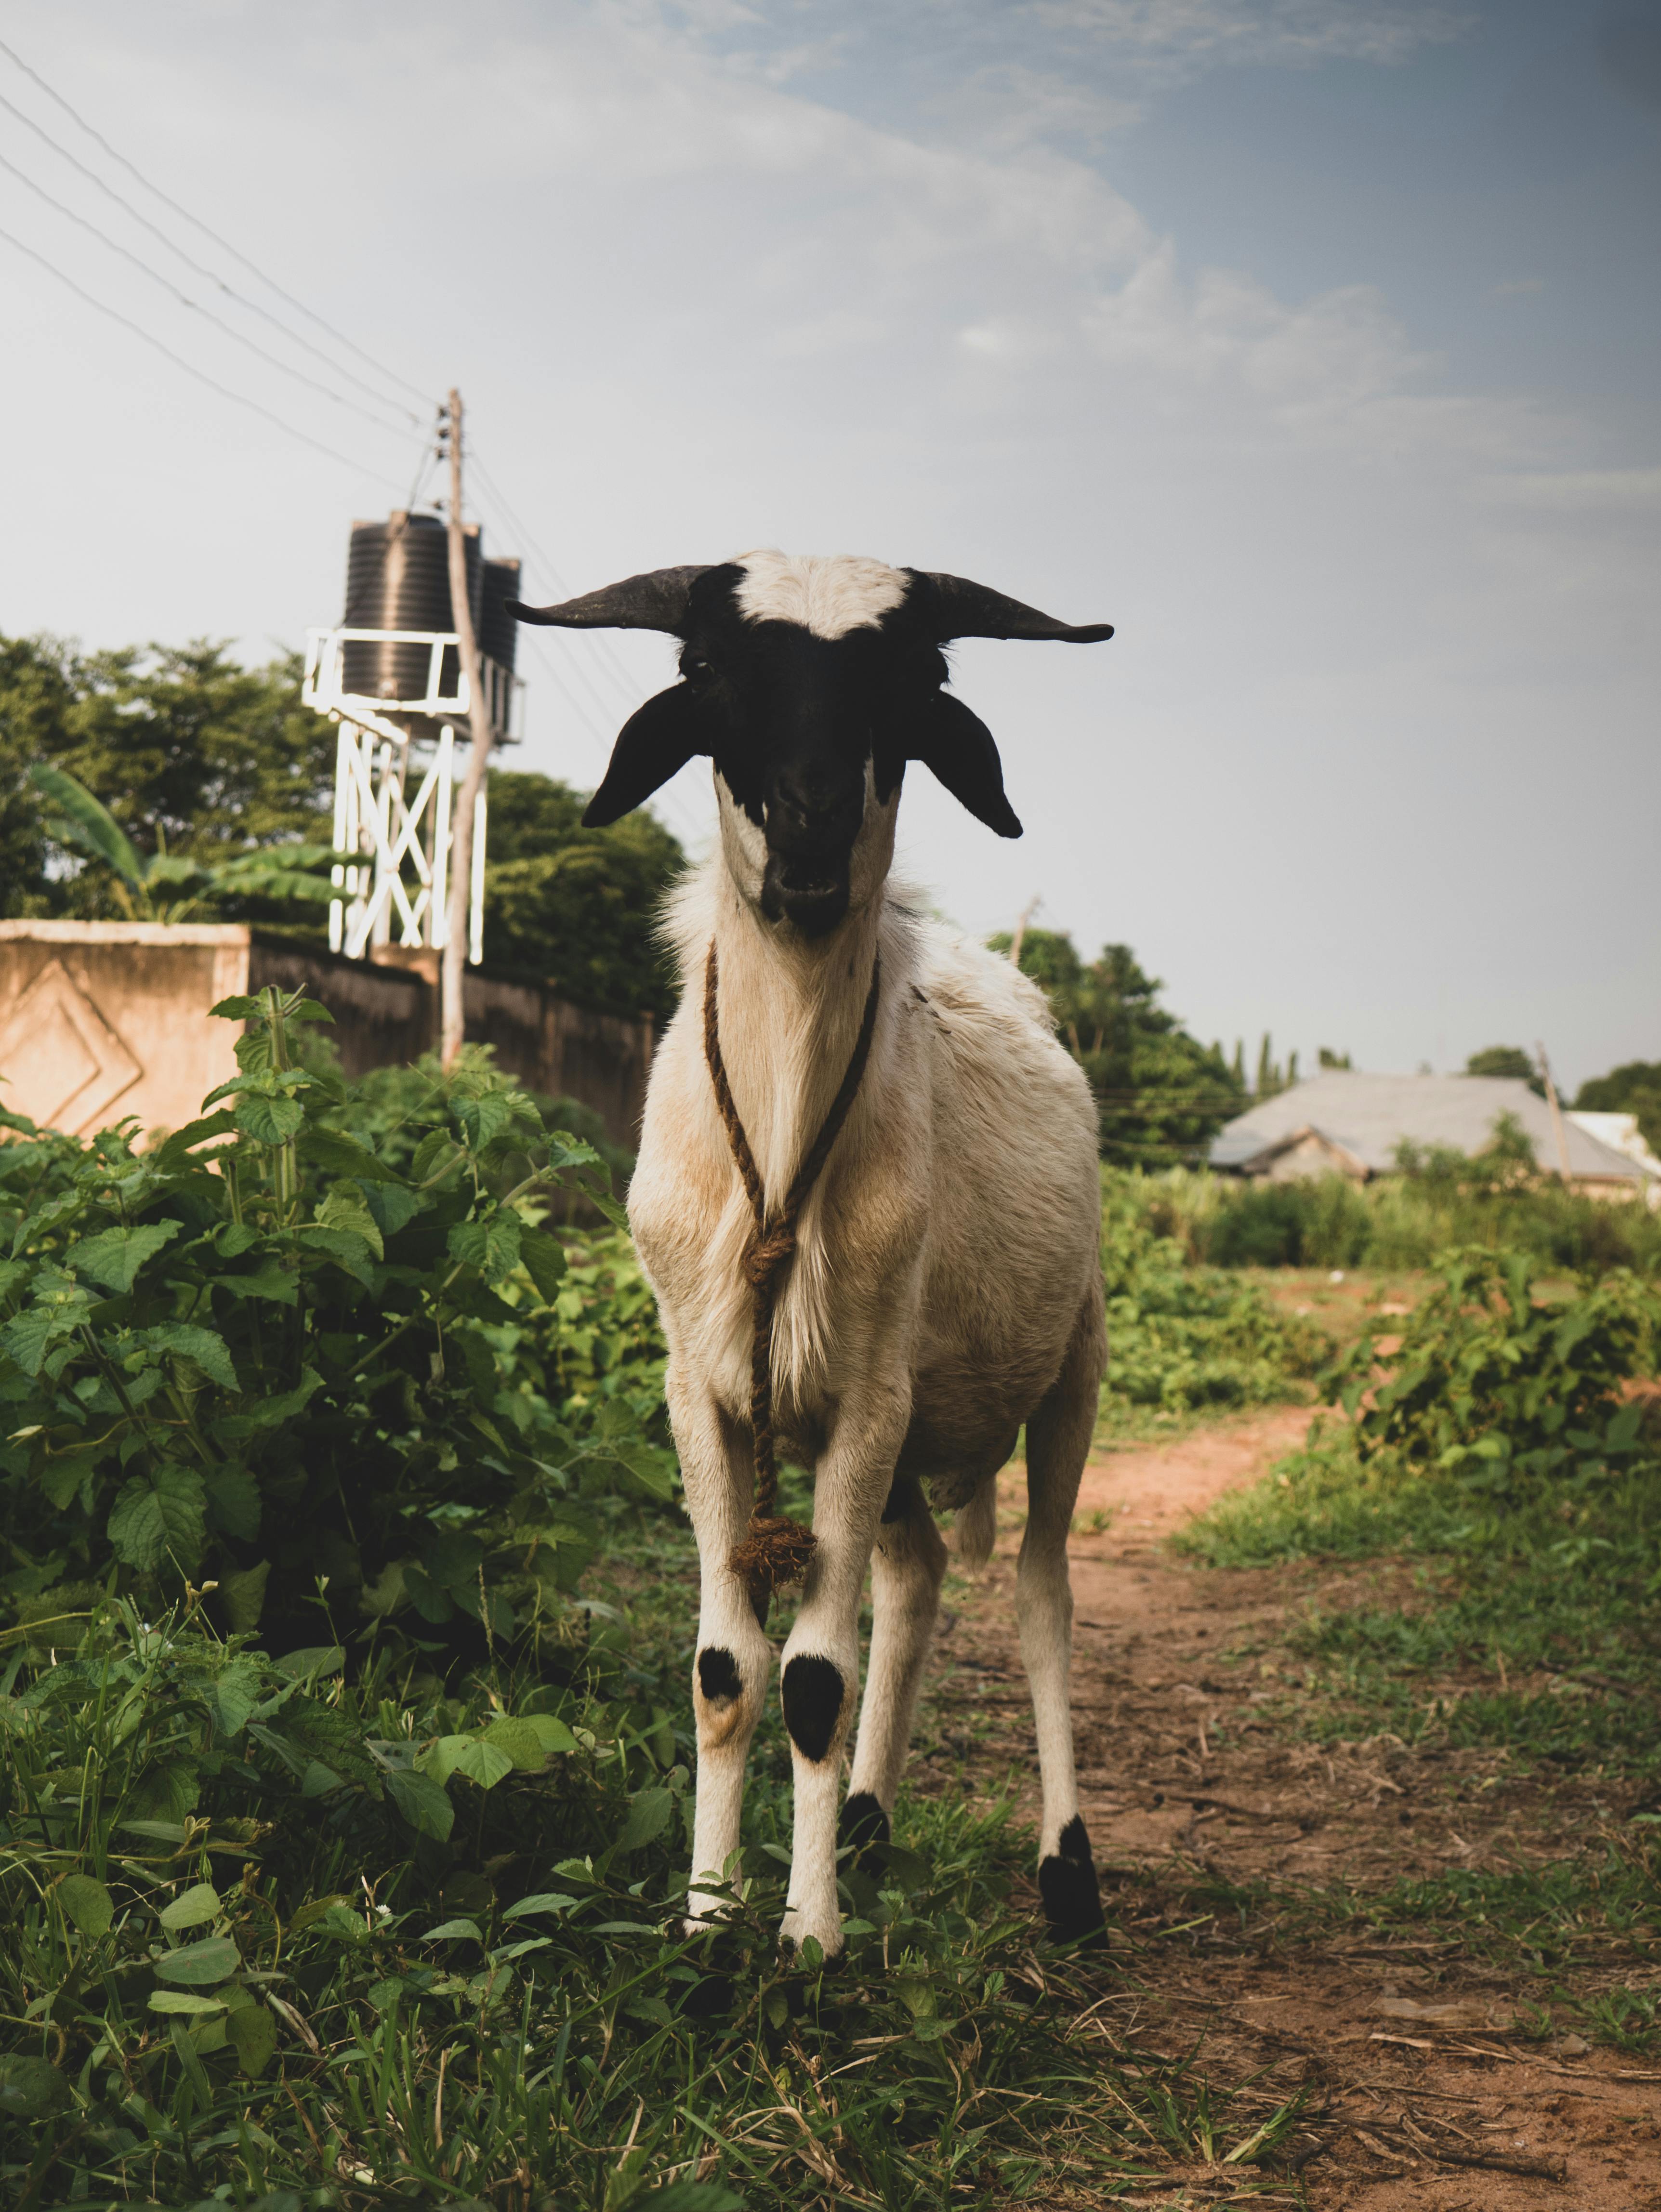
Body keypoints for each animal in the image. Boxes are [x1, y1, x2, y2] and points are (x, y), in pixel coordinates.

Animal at [511, 552, 1115, 1957]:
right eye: (703, 673)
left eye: (917, 680)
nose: (809, 840)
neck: (785, 1139)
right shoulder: (703, 1394)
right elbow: (729, 1671)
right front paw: (705, 1921)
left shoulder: (869, 1397)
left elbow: (813, 1679)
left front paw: (807, 1940)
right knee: (918, 1576)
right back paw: (868, 1822)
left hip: (1069, 1365)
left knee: (1040, 1596)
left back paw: (1066, 1871)